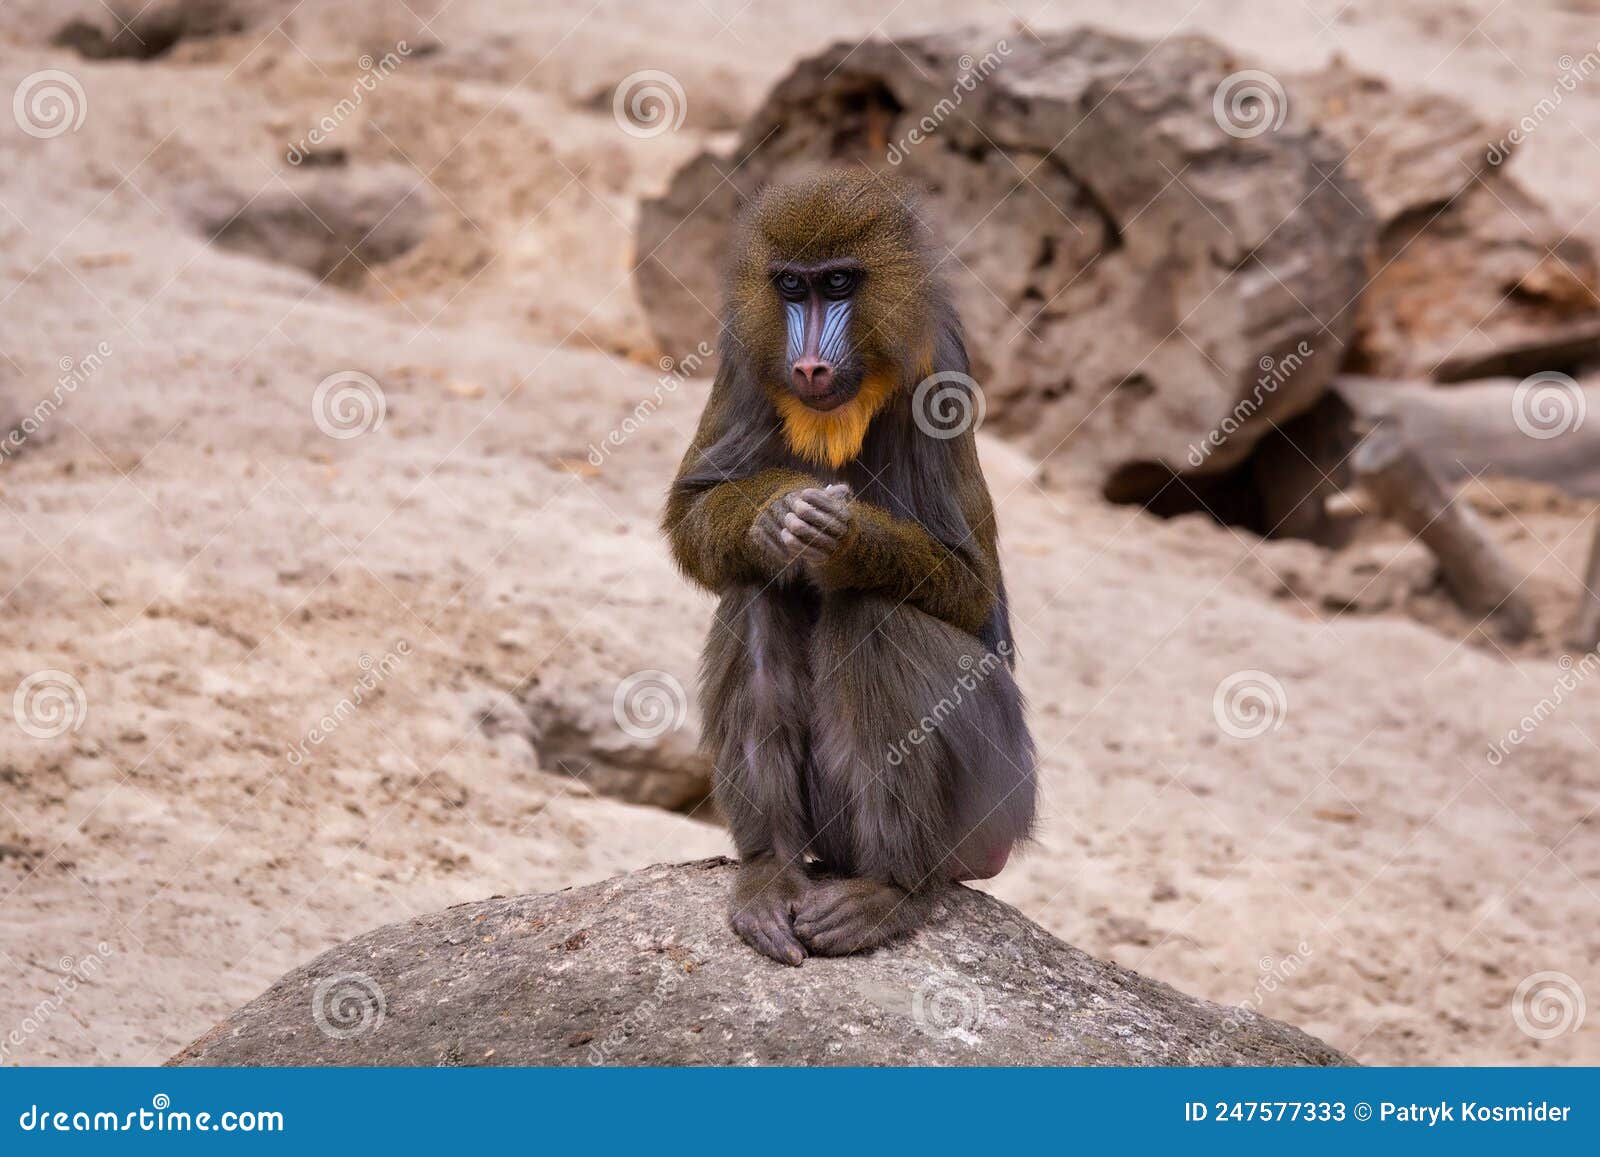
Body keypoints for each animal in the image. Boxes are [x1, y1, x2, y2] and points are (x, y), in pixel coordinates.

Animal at [662, 168, 1036, 965]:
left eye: (837, 283)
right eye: (791, 286)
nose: (807, 363)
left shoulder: (939, 366)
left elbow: (971, 588)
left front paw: (842, 541)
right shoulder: (743, 351)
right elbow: (693, 514)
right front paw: (776, 521)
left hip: (995, 800)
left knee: (875, 614)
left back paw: (889, 890)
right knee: (755, 593)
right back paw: (770, 875)